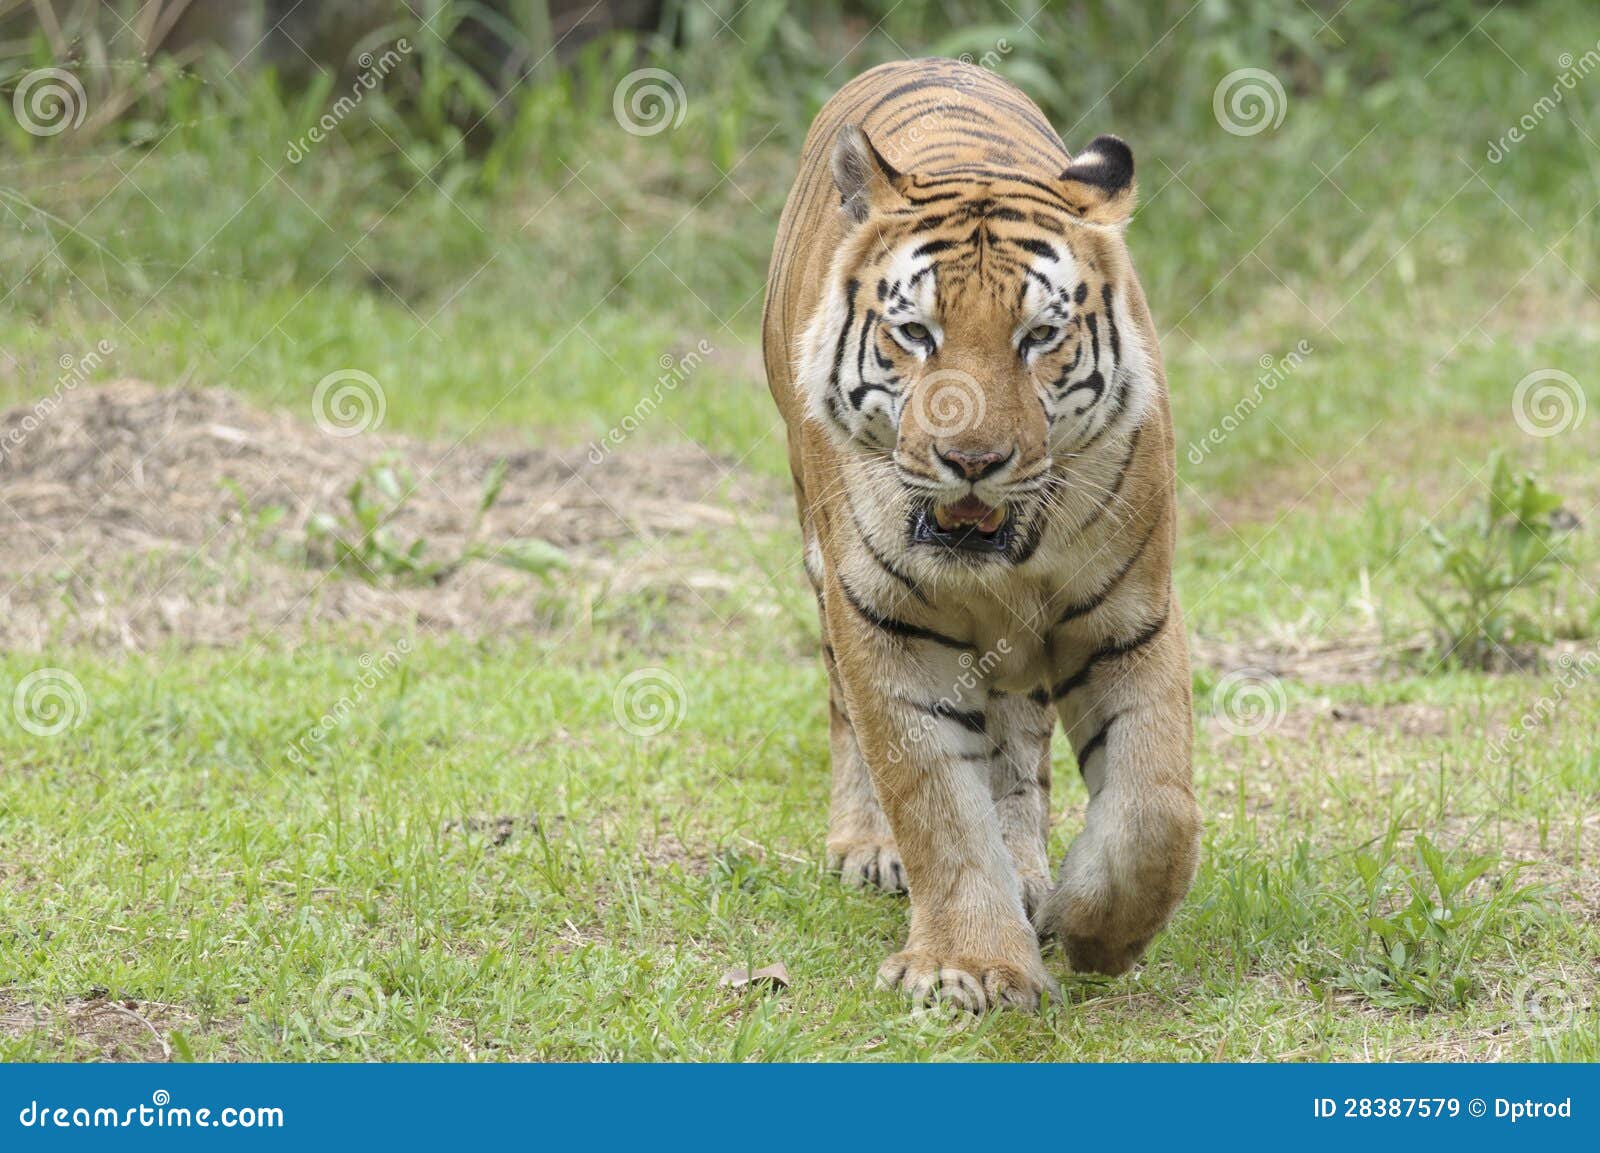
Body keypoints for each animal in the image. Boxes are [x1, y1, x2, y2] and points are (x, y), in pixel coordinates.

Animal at [760, 57, 1201, 1011]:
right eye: (915, 333)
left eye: (1039, 336)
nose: (972, 459)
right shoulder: (883, 622)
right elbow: (934, 804)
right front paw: (971, 964)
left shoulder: (1130, 613)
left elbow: (1155, 806)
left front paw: (1098, 930)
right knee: (844, 709)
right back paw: (869, 847)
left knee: (1021, 745)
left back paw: (1033, 873)